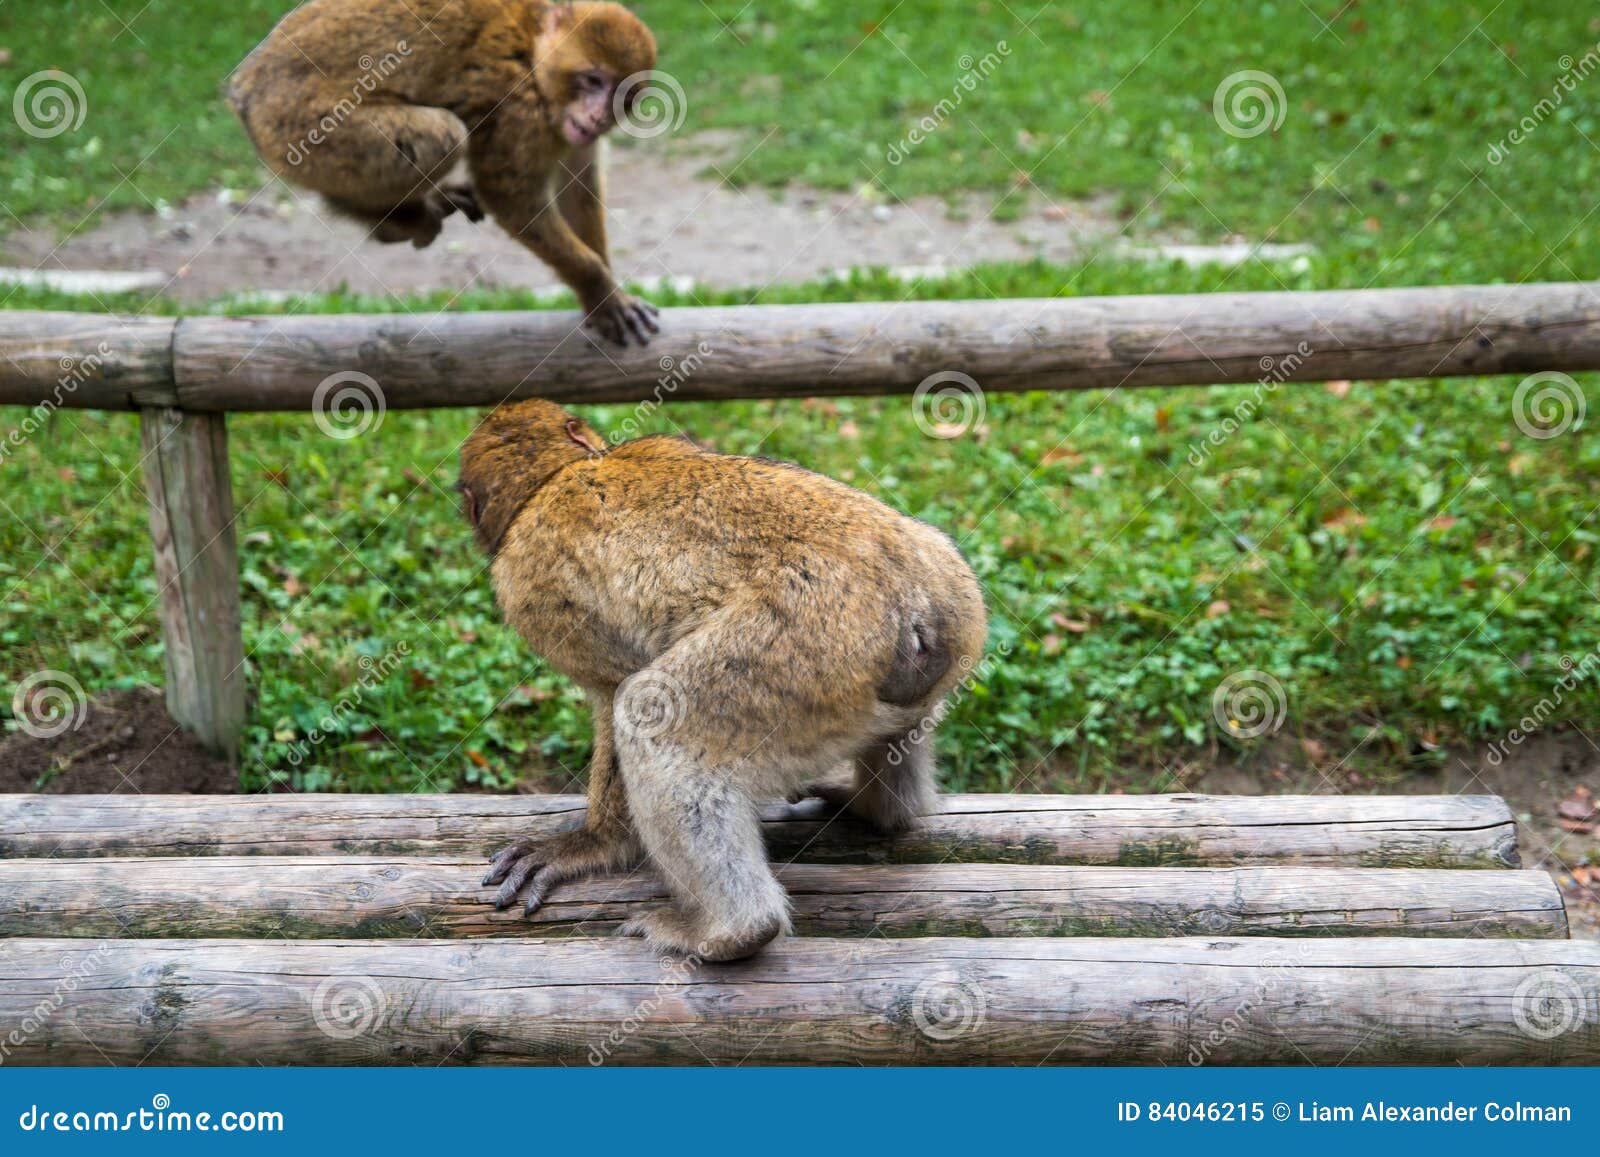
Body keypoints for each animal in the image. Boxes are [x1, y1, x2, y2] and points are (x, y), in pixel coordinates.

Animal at [228, 0, 661, 346]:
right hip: (301, 126)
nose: (597, 116)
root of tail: (245, 89)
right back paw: (393, 219)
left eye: (620, 93)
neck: (534, 55)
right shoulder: (518, 108)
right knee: (444, 136)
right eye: (592, 80)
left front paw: (605, 291)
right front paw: (598, 288)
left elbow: (579, 187)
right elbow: (510, 197)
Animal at [459, 400, 987, 961]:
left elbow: (614, 688)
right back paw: (880, 812)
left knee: (653, 715)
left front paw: (593, 844)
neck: (557, 475)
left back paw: (736, 931)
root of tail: (920, 617)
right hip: (947, 605)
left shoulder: (529, 586)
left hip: (806, 652)